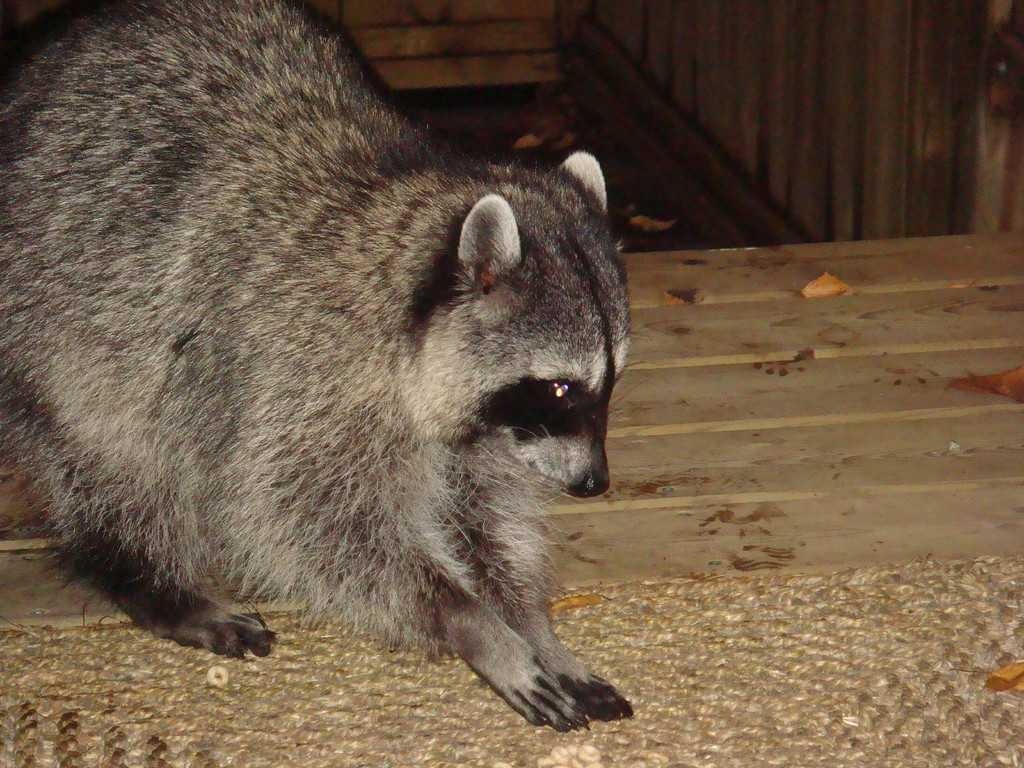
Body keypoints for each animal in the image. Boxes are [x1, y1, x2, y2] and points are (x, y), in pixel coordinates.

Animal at [0, 0, 632, 730]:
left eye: (609, 381)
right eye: (559, 387)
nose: (594, 483)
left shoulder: (485, 429)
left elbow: (485, 514)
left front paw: (528, 621)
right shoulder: (301, 373)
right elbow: (304, 519)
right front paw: (470, 621)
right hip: (56, 313)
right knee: (113, 447)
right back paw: (149, 579)